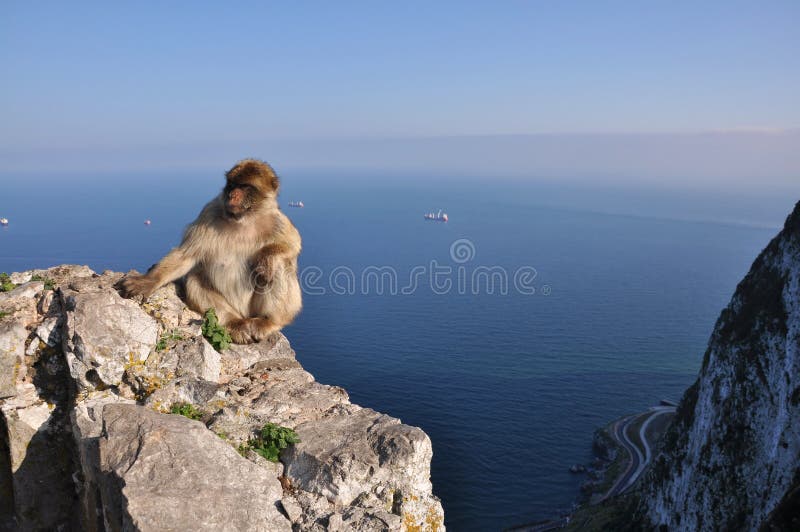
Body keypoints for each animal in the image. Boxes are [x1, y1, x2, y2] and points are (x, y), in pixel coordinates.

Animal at [119, 159, 302, 344]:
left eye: (245, 186)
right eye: (232, 184)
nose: (232, 195)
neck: (244, 220)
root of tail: (244, 314)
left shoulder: (277, 219)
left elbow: (293, 244)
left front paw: (266, 256)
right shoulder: (209, 212)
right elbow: (186, 255)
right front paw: (148, 281)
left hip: (253, 310)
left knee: (279, 267)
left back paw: (267, 320)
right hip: (233, 308)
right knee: (194, 279)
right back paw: (234, 324)